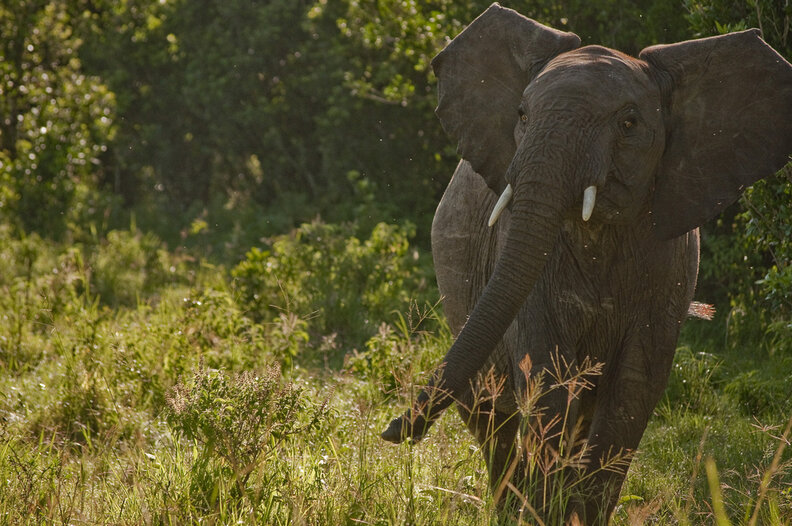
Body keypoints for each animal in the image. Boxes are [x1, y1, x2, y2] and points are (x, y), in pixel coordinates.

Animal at [381, 3, 792, 524]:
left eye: (629, 123)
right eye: (521, 114)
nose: (392, 429)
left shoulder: (671, 267)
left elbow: (634, 387)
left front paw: (578, 513)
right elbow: (548, 372)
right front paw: (545, 513)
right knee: (490, 417)